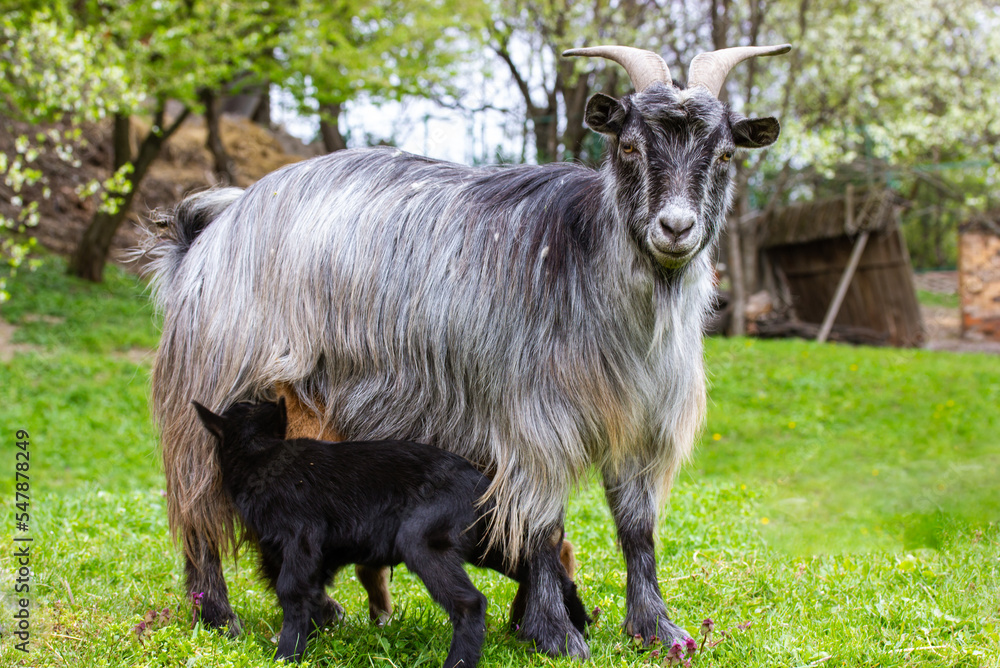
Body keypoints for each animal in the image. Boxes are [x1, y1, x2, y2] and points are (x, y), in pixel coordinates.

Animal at [192, 397, 590, 665]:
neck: (262, 455)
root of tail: (481, 483)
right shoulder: (316, 558)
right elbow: (314, 595)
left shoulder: (300, 541)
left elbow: (292, 592)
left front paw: (287, 655)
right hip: (486, 543)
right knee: (547, 571)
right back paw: (579, 623)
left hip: (423, 544)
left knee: (471, 602)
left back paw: (459, 662)